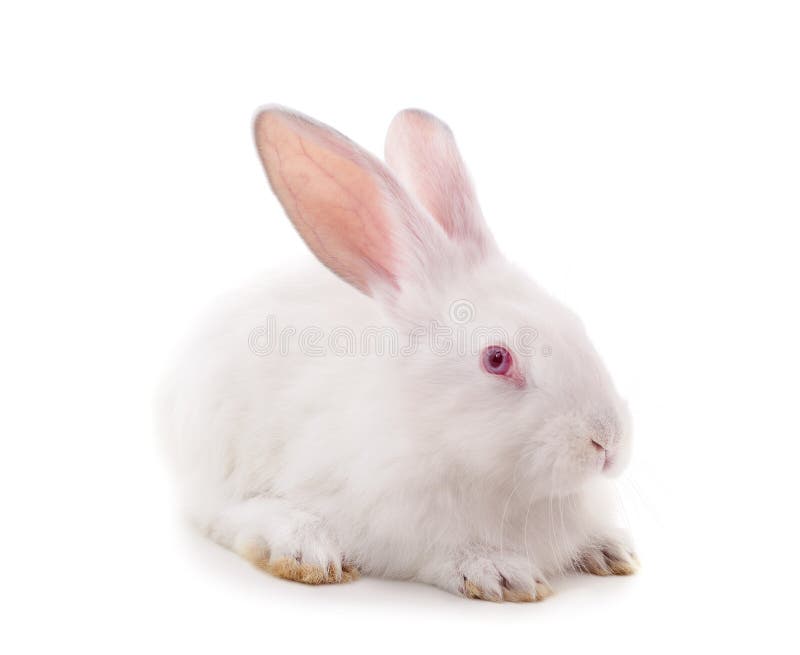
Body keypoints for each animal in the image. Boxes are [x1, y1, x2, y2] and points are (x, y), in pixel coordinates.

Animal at [156, 105, 637, 602]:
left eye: (576, 322)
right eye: (496, 359)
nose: (608, 443)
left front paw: (611, 549)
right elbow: (442, 554)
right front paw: (501, 574)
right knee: (223, 515)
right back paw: (304, 549)